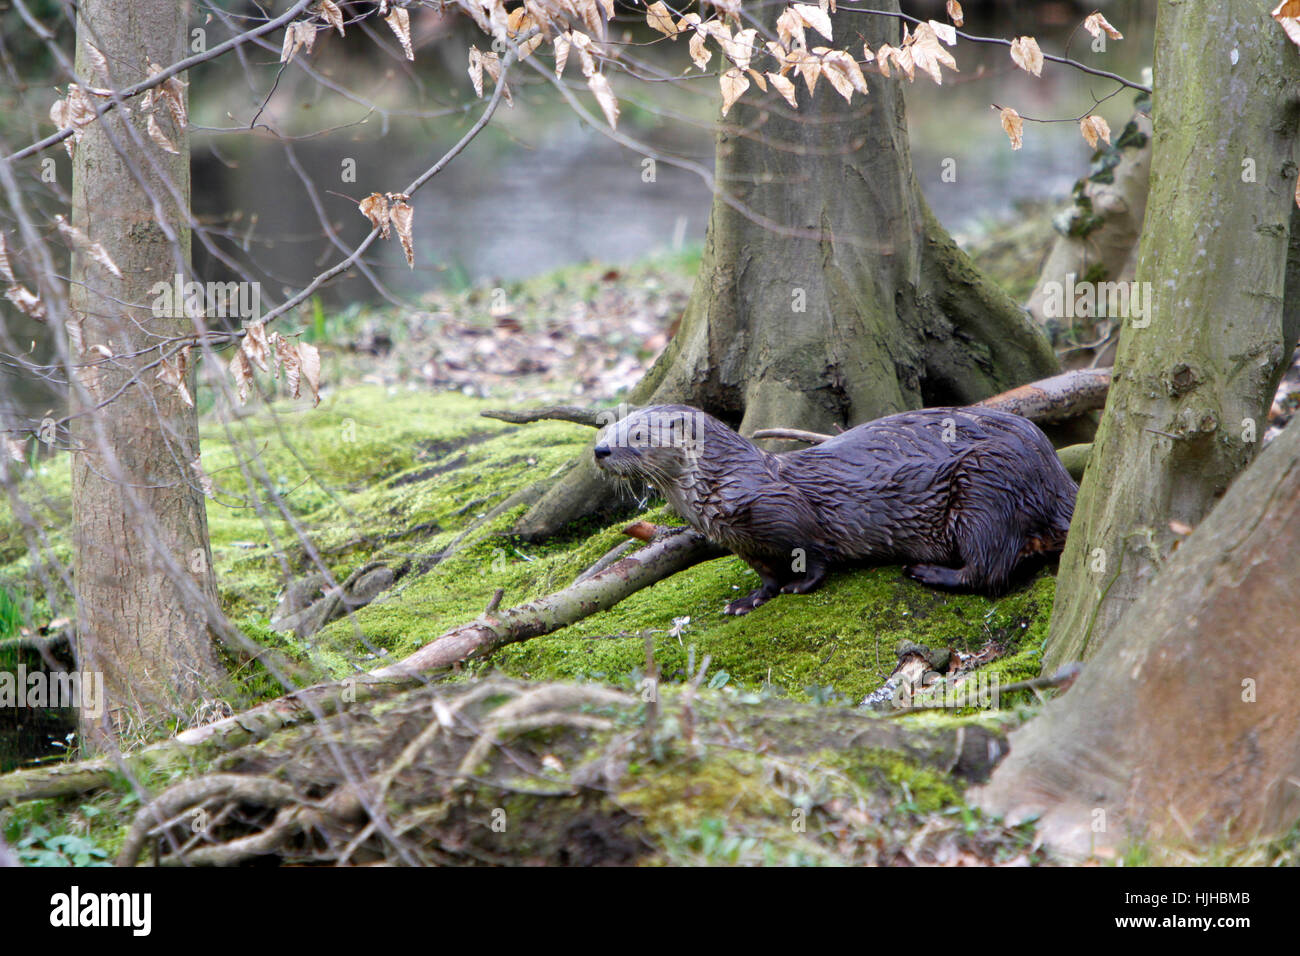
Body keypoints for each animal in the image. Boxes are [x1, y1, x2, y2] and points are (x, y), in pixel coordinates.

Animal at [593, 404, 1076, 615]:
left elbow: (814, 556)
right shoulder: (745, 544)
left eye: (636, 434)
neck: (724, 488)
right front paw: (750, 600)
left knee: (990, 569)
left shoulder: (785, 512)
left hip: (985, 490)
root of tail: (1055, 475)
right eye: (607, 427)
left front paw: (800, 586)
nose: (599, 450)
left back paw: (927, 572)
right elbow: (767, 575)